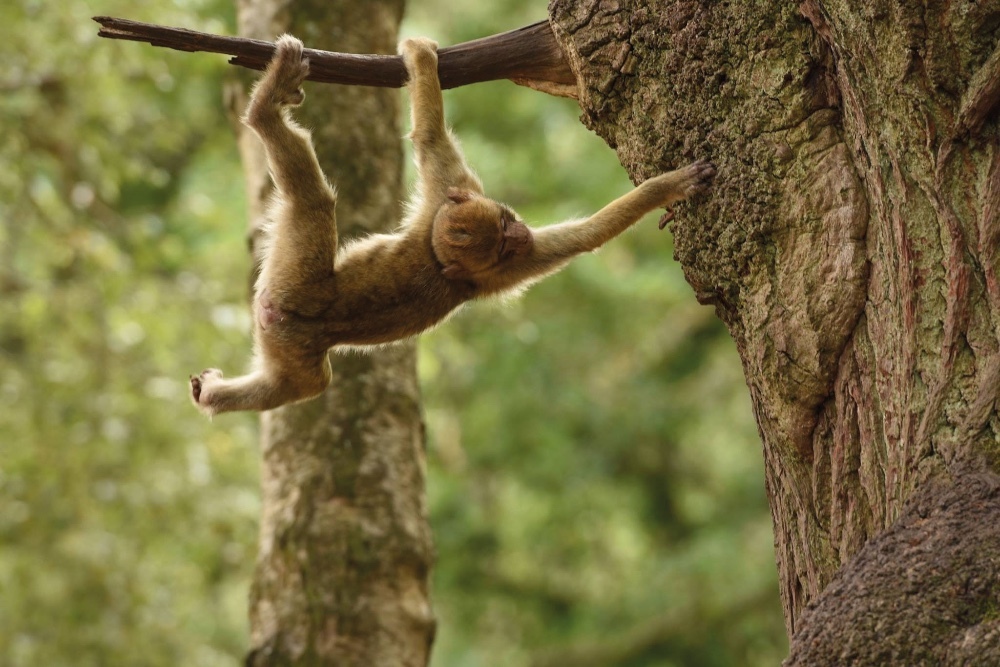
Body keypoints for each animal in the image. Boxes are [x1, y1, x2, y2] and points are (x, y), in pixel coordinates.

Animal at [189, 35, 716, 416]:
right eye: (503, 237)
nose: (520, 235)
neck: (438, 247)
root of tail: (291, 310)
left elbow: (586, 235)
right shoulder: (460, 199)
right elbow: (431, 138)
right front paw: (422, 60)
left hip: (288, 318)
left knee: (301, 381)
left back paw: (215, 396)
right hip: (294, 283)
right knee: (313, 206)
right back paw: (265, 109)